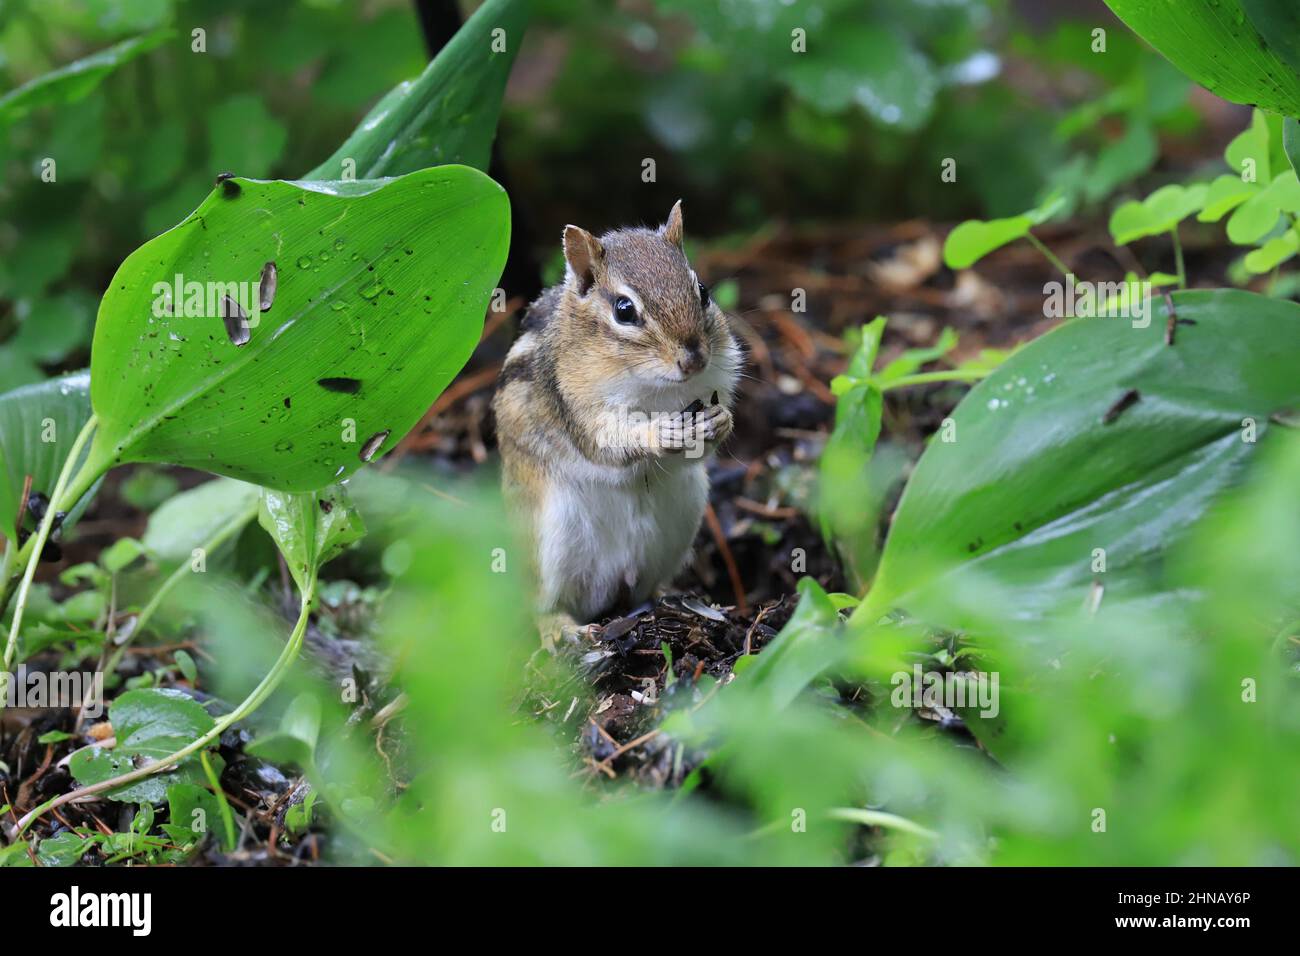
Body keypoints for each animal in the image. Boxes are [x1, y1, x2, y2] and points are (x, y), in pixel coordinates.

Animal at [492, 201, 741, 637]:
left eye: (703, 292)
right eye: (624, 311)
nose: (694, 359)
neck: (653, 385)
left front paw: (720, 421)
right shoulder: (578, 407)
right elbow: (607, 441)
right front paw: (661, 433)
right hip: (546, 538)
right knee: (538, 604)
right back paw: (563, 631)